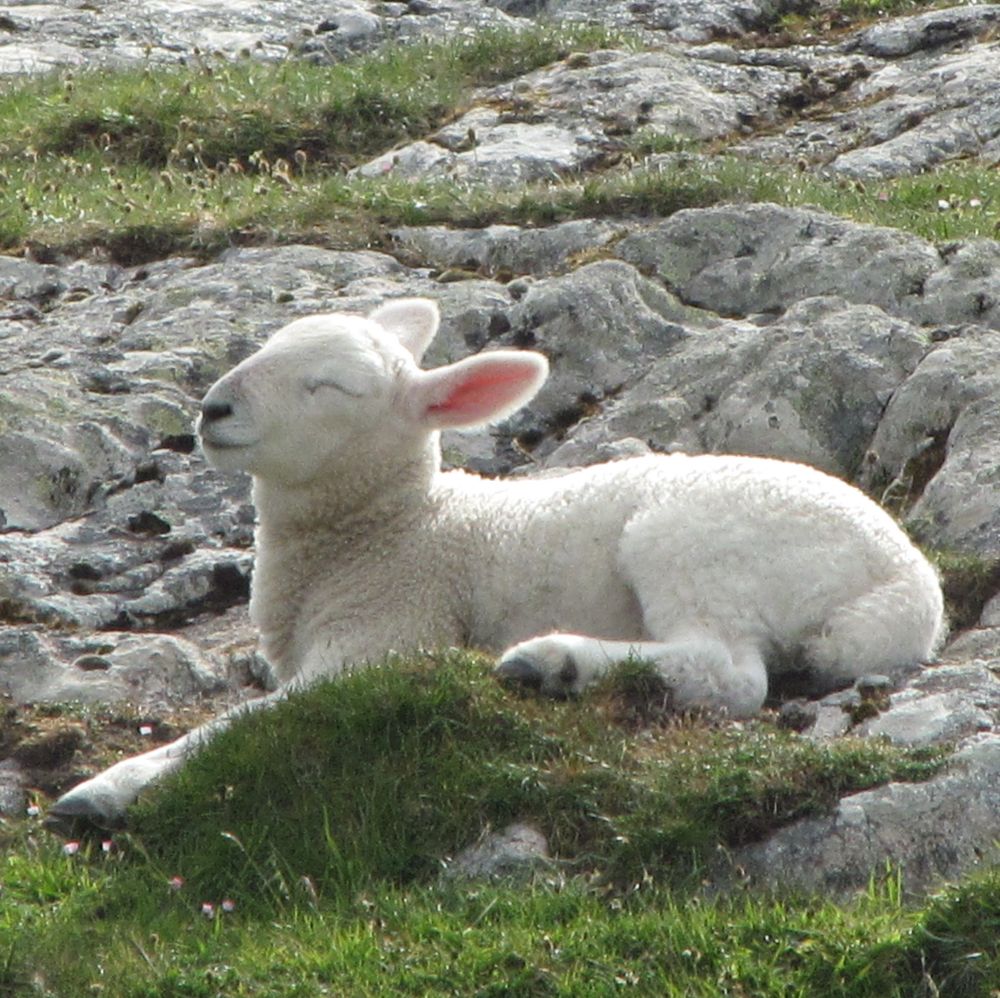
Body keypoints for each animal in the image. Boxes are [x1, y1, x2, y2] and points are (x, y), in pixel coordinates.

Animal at [47, 297, 946, 831]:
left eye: (330, 387)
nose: (214, 409)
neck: (400, 530)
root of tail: (905, 586)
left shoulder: (384, 641)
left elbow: (234, 730)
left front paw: (105, 791)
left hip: (693, 545)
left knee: (727, 673)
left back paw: (553, 664)